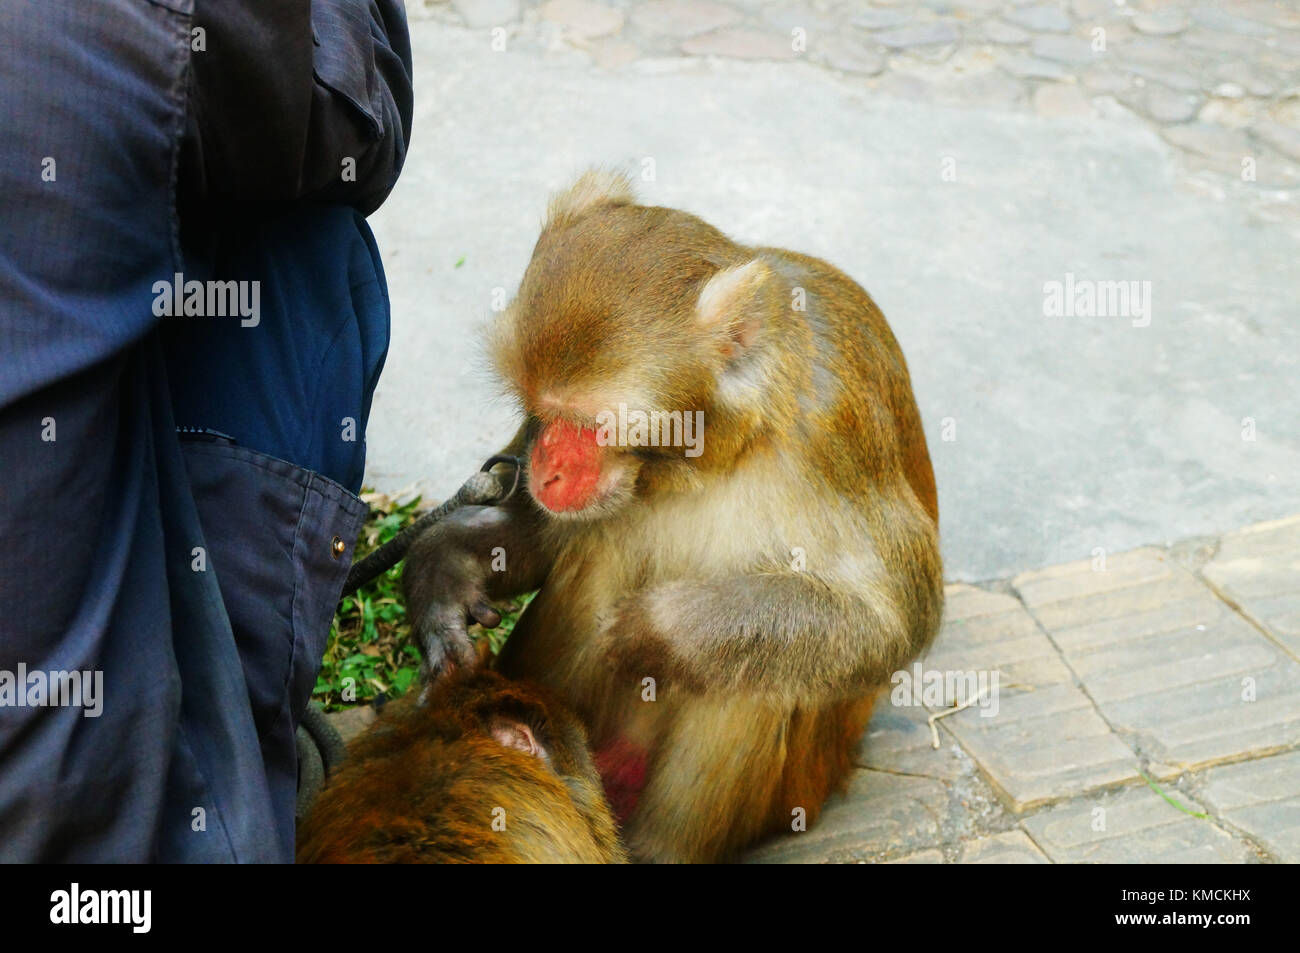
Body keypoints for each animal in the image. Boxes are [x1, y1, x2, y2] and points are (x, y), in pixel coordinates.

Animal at [402, 169, 943, 863]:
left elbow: (892, 619)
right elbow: (542, 533)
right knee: (597, 552)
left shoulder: (834, 432)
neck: (717, 449)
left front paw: (653, 631)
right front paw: (445, 571)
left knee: (761, 672)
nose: (546, 469)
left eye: (593, 424)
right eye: (539, 411)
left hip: (797, 788)